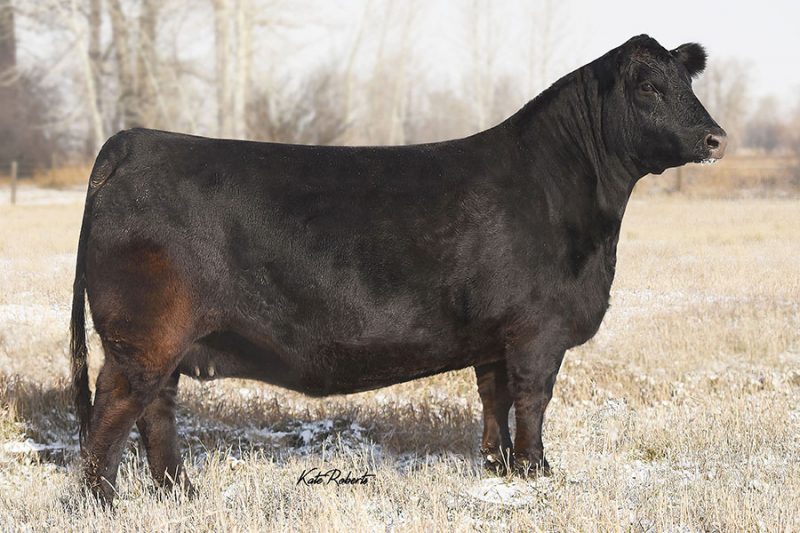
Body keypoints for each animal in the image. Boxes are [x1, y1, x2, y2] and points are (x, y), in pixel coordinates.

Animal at [70, 34, 726, 503]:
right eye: (649, 87)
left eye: (684, 82)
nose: (715, 137)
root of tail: (135, 140)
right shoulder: (538, 332)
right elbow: (533, 399)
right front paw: (539, 473)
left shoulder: (494, 337)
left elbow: (494, 399)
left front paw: (498, 470)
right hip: (143, 337)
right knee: (115, 409)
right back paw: (101, 503)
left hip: (166, 342)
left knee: (156, 411)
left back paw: (178, 493)